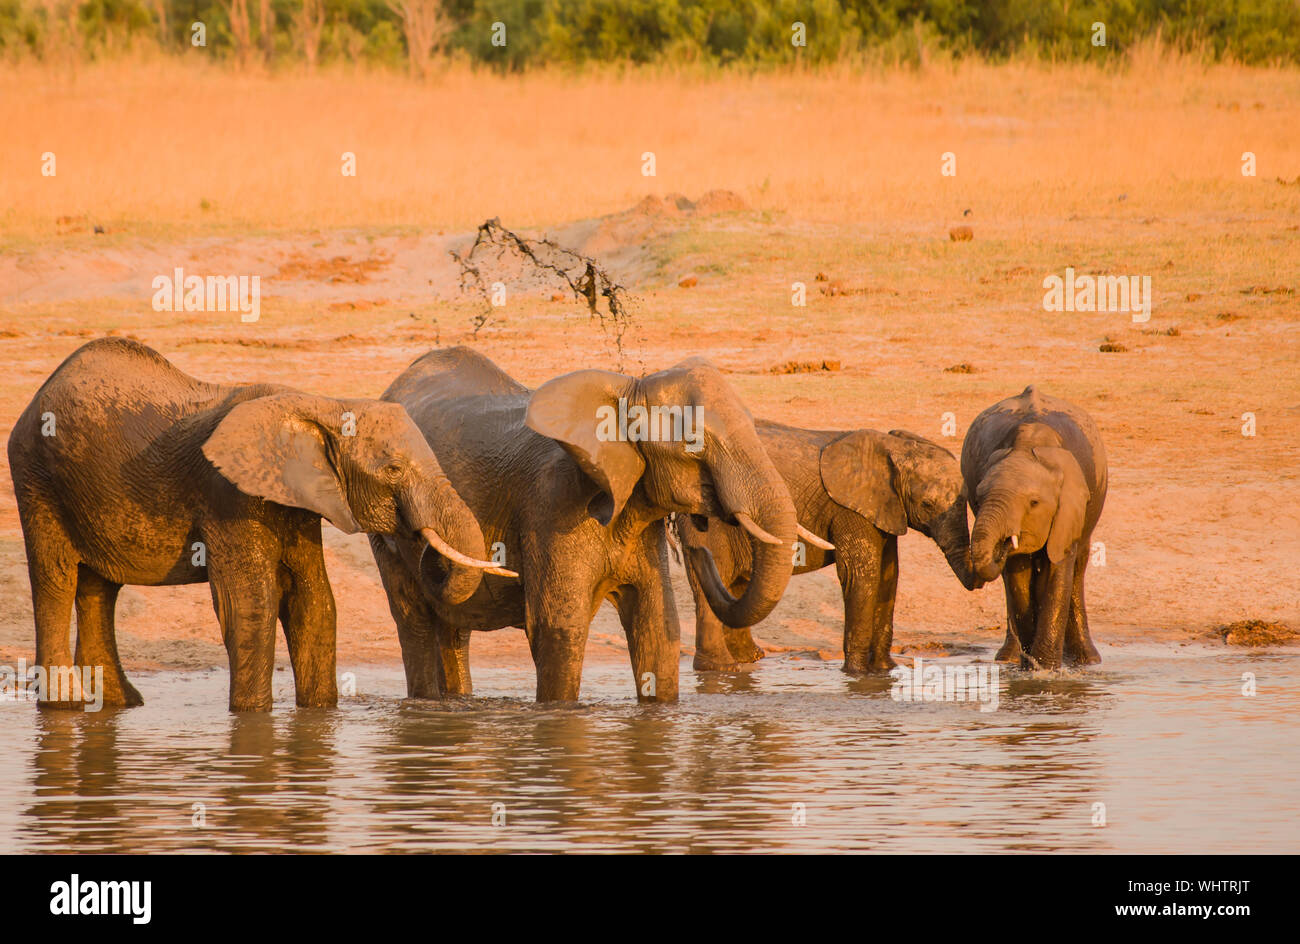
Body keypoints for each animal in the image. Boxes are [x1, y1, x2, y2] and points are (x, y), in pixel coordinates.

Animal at [7, 338, 508, 712]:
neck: (320, 405)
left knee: (99, 589)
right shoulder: (229, 492)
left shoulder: (298, 498)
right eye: (393, 470)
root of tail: (38, 396)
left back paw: (119, 704)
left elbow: (315, 603)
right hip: (35, 476)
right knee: (55, 578)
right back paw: (64, 706)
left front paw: (318, 714)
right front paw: (252, 718)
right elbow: (250, 603)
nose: (412, 540)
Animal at [367, 346, 798, 703]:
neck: (631, 390)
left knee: (453, 627)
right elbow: (559, 627)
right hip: (382, 517)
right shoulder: (552, 507)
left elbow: (657, 627)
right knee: (414, 619)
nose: (702, 548)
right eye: (693, 441)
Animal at [676, 422, 979, 674]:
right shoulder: (848, 508)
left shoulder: (884, 509)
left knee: (736, 587)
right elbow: (861, 576)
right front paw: (857, 674)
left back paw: (749, 660)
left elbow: (888, 576)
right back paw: (719, 668)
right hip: (707, 523)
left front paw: (886, 671)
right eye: (927, 504)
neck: (892, 446)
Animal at [961, 385, 1107, 670]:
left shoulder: (1069, 508)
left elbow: (1058, 571)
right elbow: (1018, 577)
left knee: (1078, 568)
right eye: (978, 498)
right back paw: (1008, 658)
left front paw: (1044, 669)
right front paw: (1030, 667)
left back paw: (1087, 661)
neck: (1029, 443)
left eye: (1034, 502)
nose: (1003, 543)